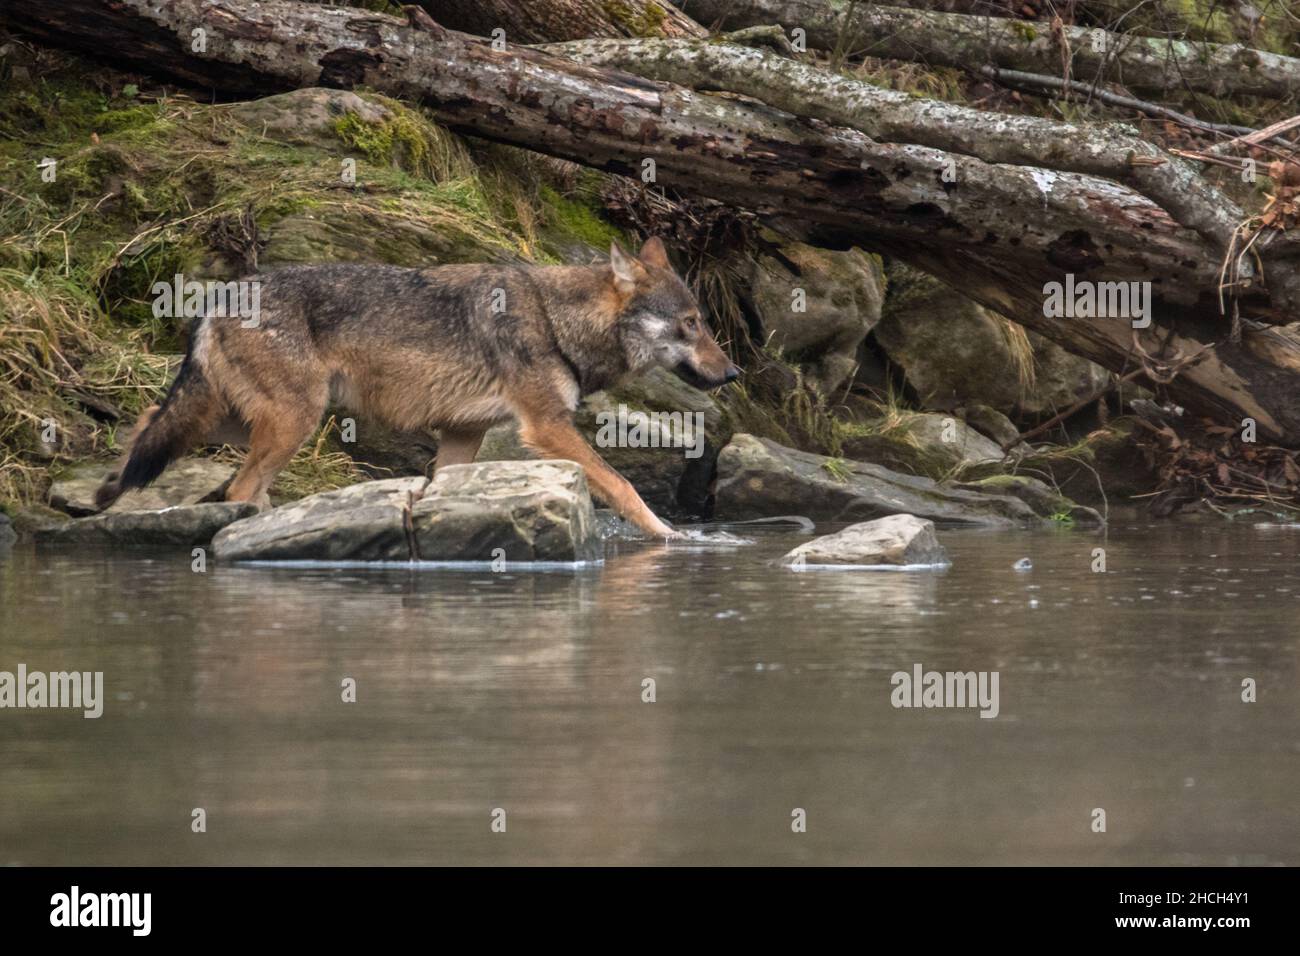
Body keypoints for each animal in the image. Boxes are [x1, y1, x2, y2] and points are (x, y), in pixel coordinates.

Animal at [95, 238, 738, 539]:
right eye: (690, 324)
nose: (732, 374)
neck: (556, 320)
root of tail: (220, 297)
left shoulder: (461, 436)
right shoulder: (548, 427)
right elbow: (623, 485)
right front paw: (669, 536)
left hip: (239, 418)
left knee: (151, 422)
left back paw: (108, 490)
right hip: (292, 421)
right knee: (238, 489)